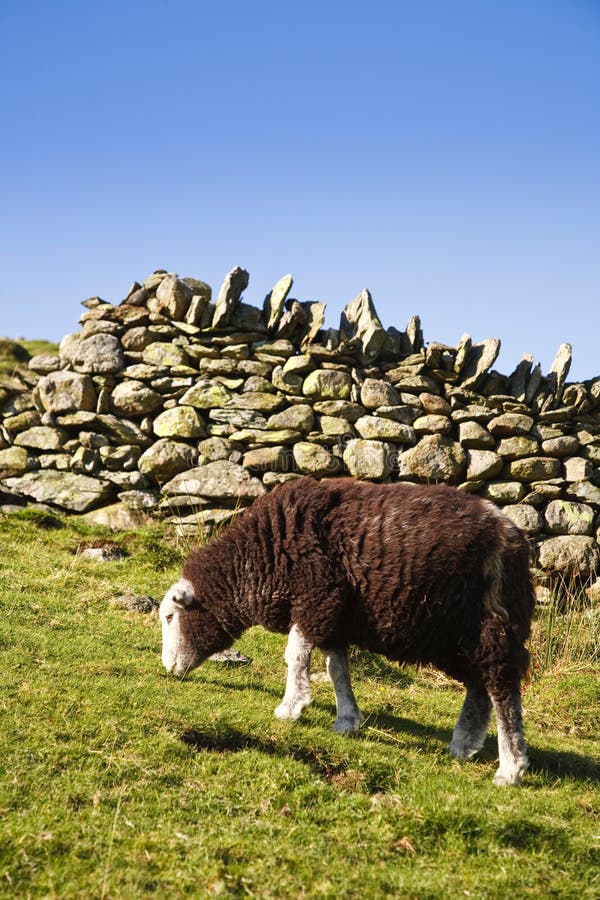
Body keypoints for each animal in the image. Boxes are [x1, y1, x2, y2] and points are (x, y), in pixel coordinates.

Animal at [159, 476, 535, 786]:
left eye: (169, 618)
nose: (168, 668)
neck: (260, 558)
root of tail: (510, 534)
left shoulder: (317, 599)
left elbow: (295, 655)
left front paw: (291, 707)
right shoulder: (333, 619)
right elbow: (336, 669)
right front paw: (347, 720)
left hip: (490, 622)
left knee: (502, 687)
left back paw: (510, 768)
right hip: (456, 638)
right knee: (480, 685)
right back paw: (464, 743)